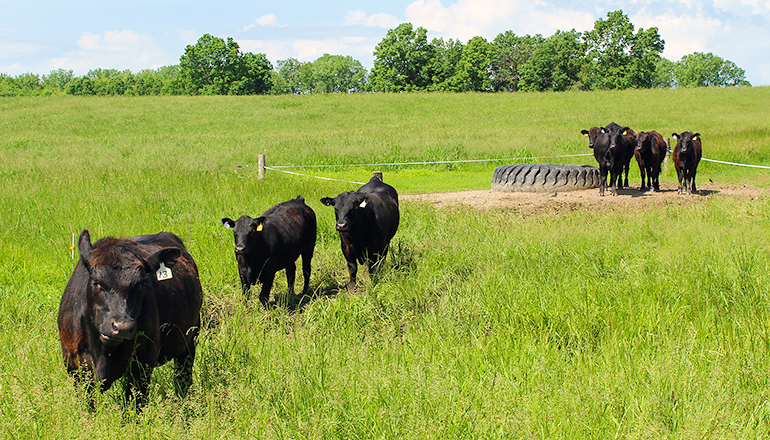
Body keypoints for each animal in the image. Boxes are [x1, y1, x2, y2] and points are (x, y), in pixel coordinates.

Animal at [58, 230, 202, 408]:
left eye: (141, 282)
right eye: (96, 282)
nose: (122, 327)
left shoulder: (143, 362)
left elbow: (133, 404)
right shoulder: (74, 364)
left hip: (190, 341)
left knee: (182, 381)